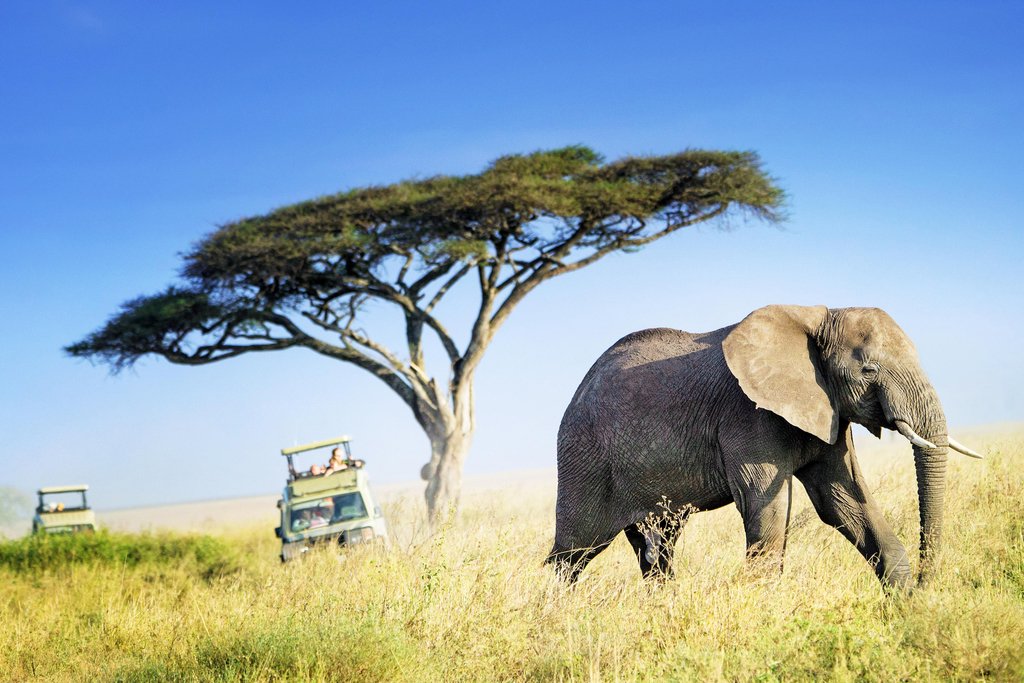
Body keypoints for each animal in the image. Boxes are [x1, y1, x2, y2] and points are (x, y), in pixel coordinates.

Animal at [546, 305, 982, 590]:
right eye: (869, 369)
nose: (928, 583)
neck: (817, 316)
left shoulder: (828, 411)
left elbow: (845, 502)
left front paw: (907, 609)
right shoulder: (748, 416)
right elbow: (765, 508)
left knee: (656, 550)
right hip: (584, 455)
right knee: (574, 550)